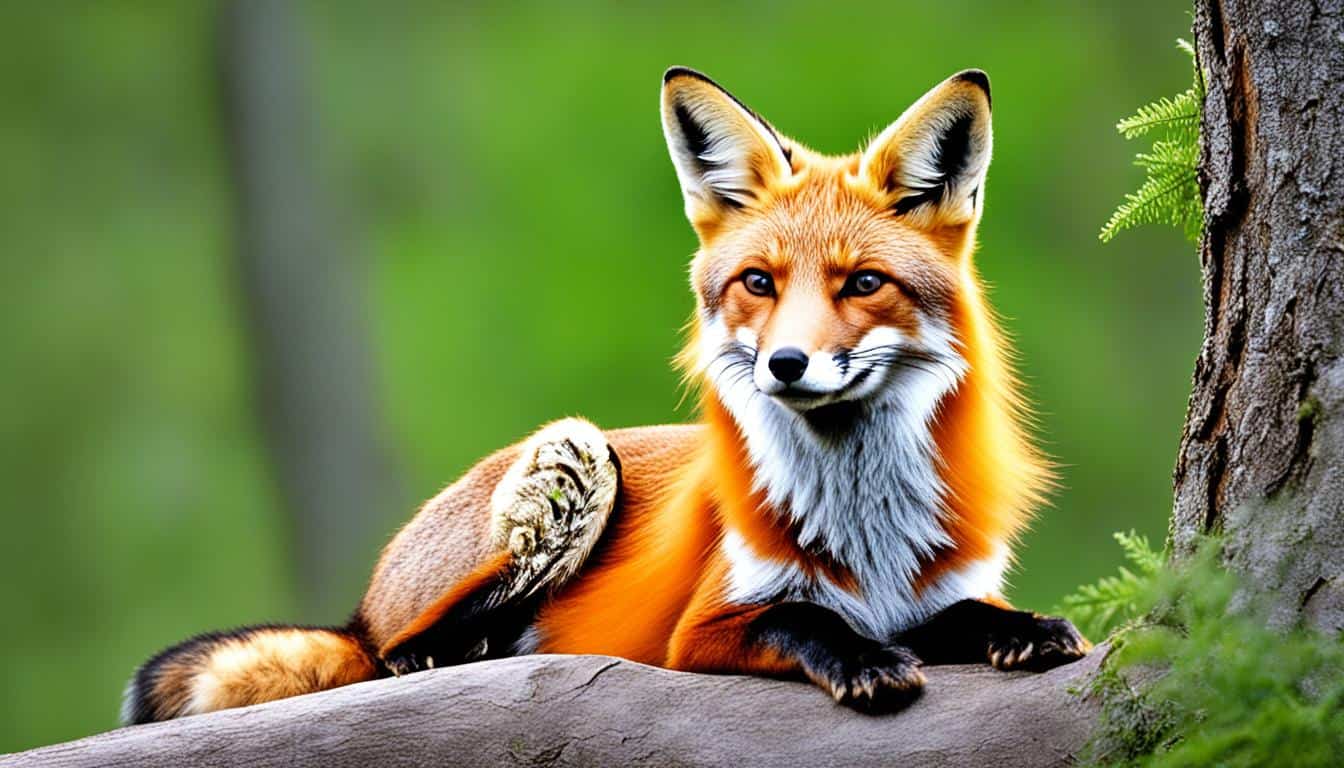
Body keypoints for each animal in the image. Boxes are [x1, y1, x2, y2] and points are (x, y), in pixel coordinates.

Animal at [123, 66, 1089, 724]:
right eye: (759, 283)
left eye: (862, 285)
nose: (786, 364)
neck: (864, 528)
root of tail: (361, 602)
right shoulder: (704, 629)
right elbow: (804, 621)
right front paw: (861, 660)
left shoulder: (936, 590)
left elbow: (963, 614)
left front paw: (1029, 629)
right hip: (580, 458)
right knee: (395, 654)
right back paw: (461, 651)